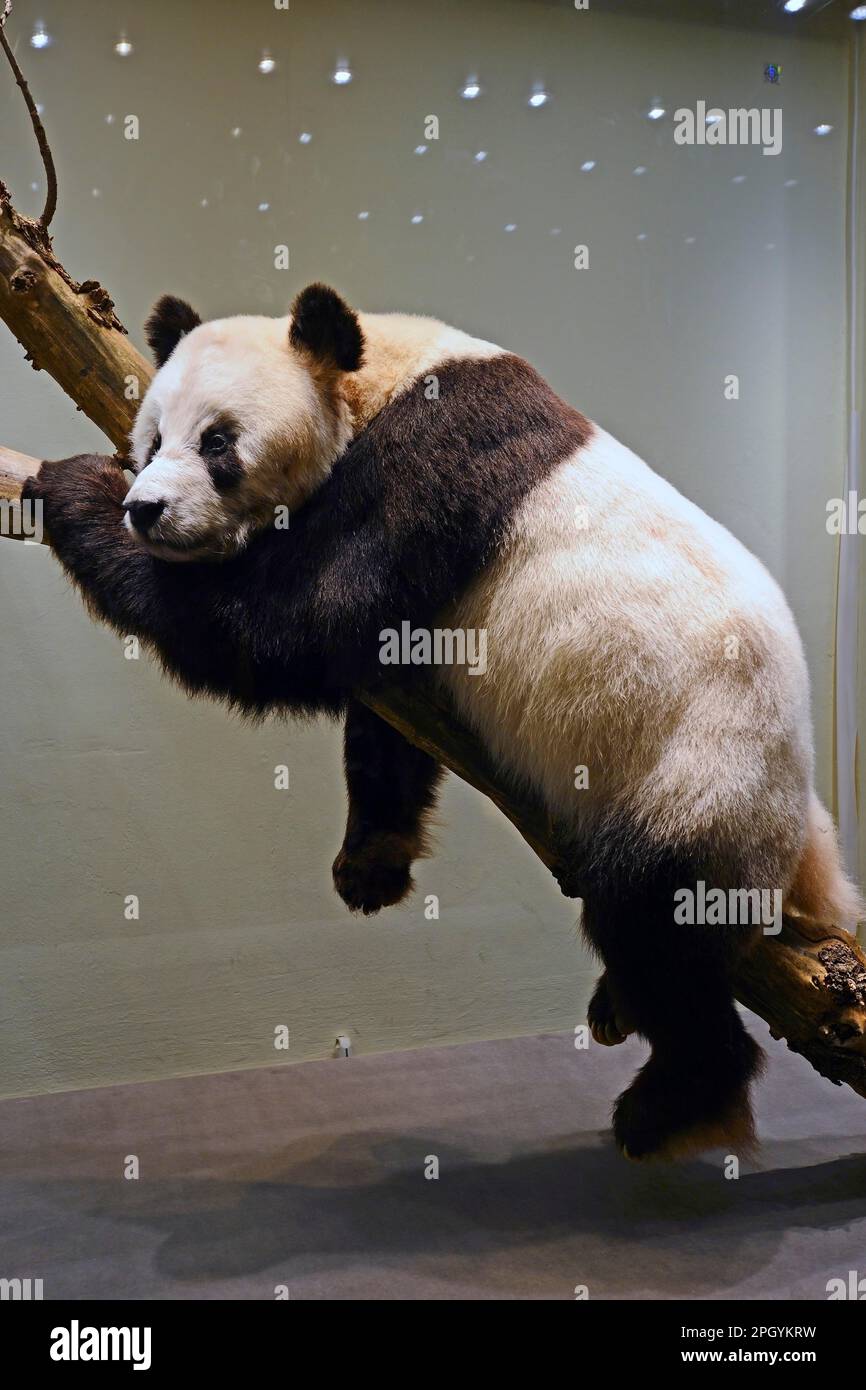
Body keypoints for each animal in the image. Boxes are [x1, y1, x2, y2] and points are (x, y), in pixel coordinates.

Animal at [23, 282, 863, 1161]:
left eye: (218, 442)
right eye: (154, 437)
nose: (146, 509)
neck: (376, 381)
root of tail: (801, 836)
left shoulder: (433, 466)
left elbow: (291, 624)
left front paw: (69, 490)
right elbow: (384, 703)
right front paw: (371, 863)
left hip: (698, 776)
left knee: (655, 920)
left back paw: (670, 1103)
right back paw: (618, 1009)